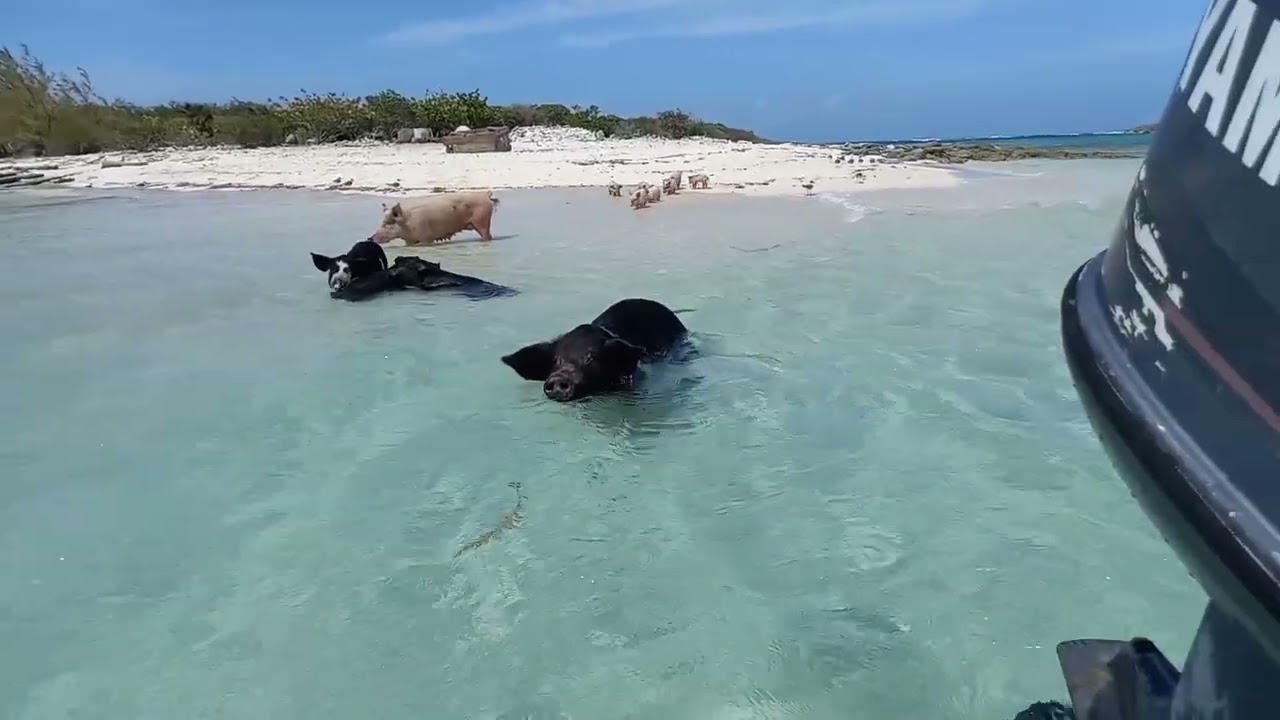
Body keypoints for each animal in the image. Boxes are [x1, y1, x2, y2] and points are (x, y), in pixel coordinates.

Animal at [368, 191, 500, 246]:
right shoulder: (409, 240)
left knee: (487, 236)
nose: (370, 238)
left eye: (388, 222)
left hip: (482, 221)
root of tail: (486, 195)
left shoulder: (426, 237)